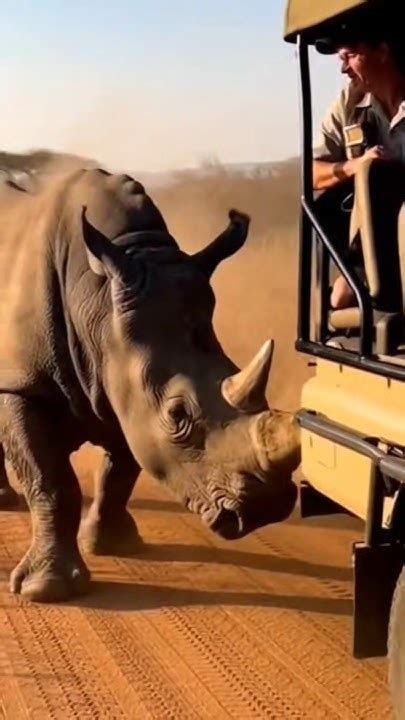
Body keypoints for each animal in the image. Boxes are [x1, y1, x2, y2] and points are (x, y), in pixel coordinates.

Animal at [0, 167, 300, 603]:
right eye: (177, 414)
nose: (267, 508)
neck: (96, 303)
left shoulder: (122, 382)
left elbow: (121, 471)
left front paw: (116, 545)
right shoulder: (23, 383)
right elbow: (50, 480)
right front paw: (47, 591)